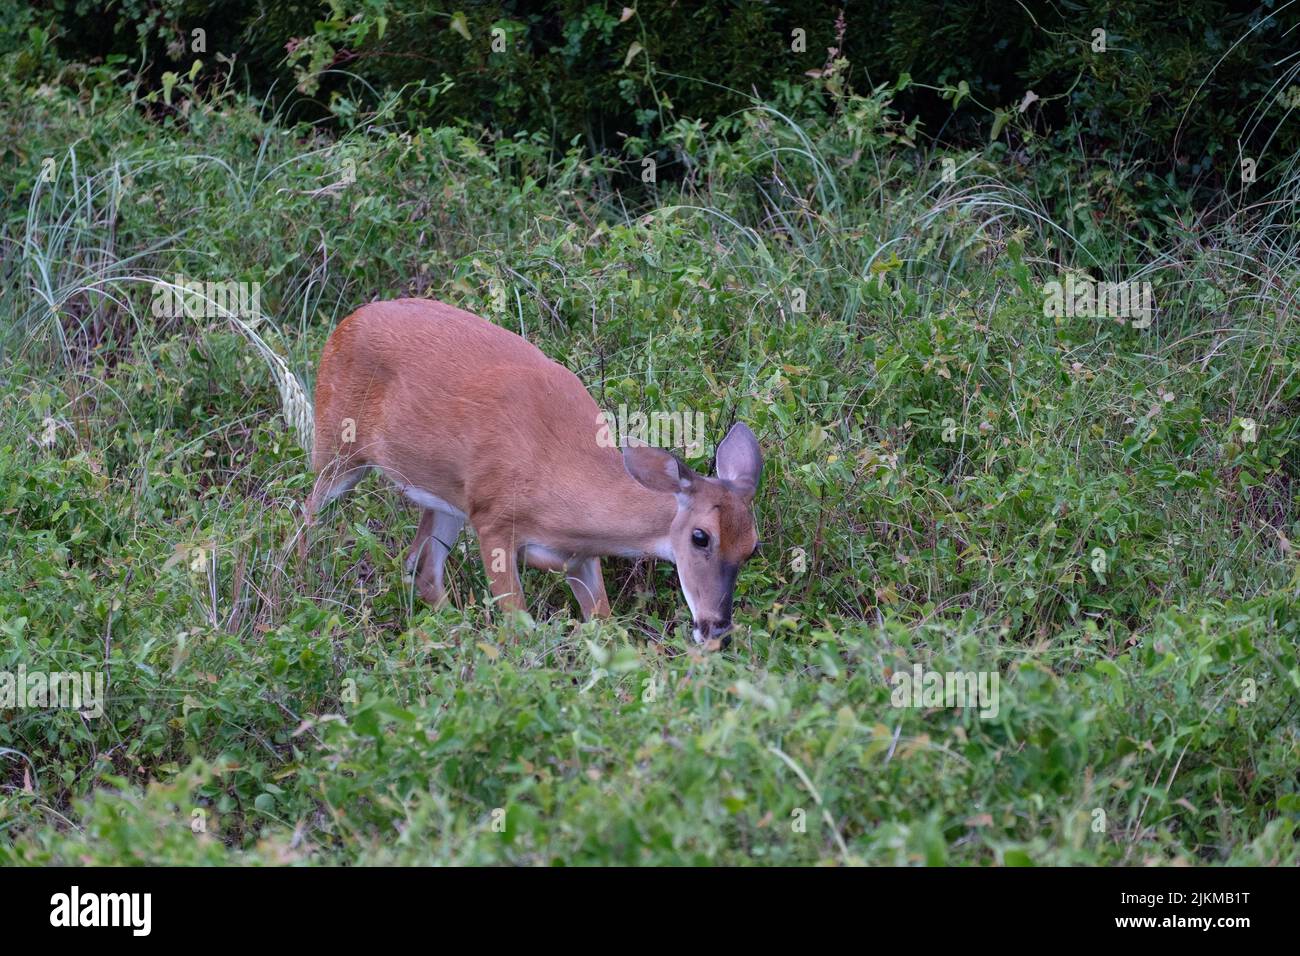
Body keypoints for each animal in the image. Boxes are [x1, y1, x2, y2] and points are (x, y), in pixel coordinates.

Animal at [299, 298, 763, 648]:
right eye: (700, 536)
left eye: (752, 548)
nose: (716, 627)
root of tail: (345, 324)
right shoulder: (492, 519)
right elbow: (518, 624)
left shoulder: (580, 557)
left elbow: (605, 624)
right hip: (336, 447)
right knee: (306, 515)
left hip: (447, 500)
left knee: (420, 566)